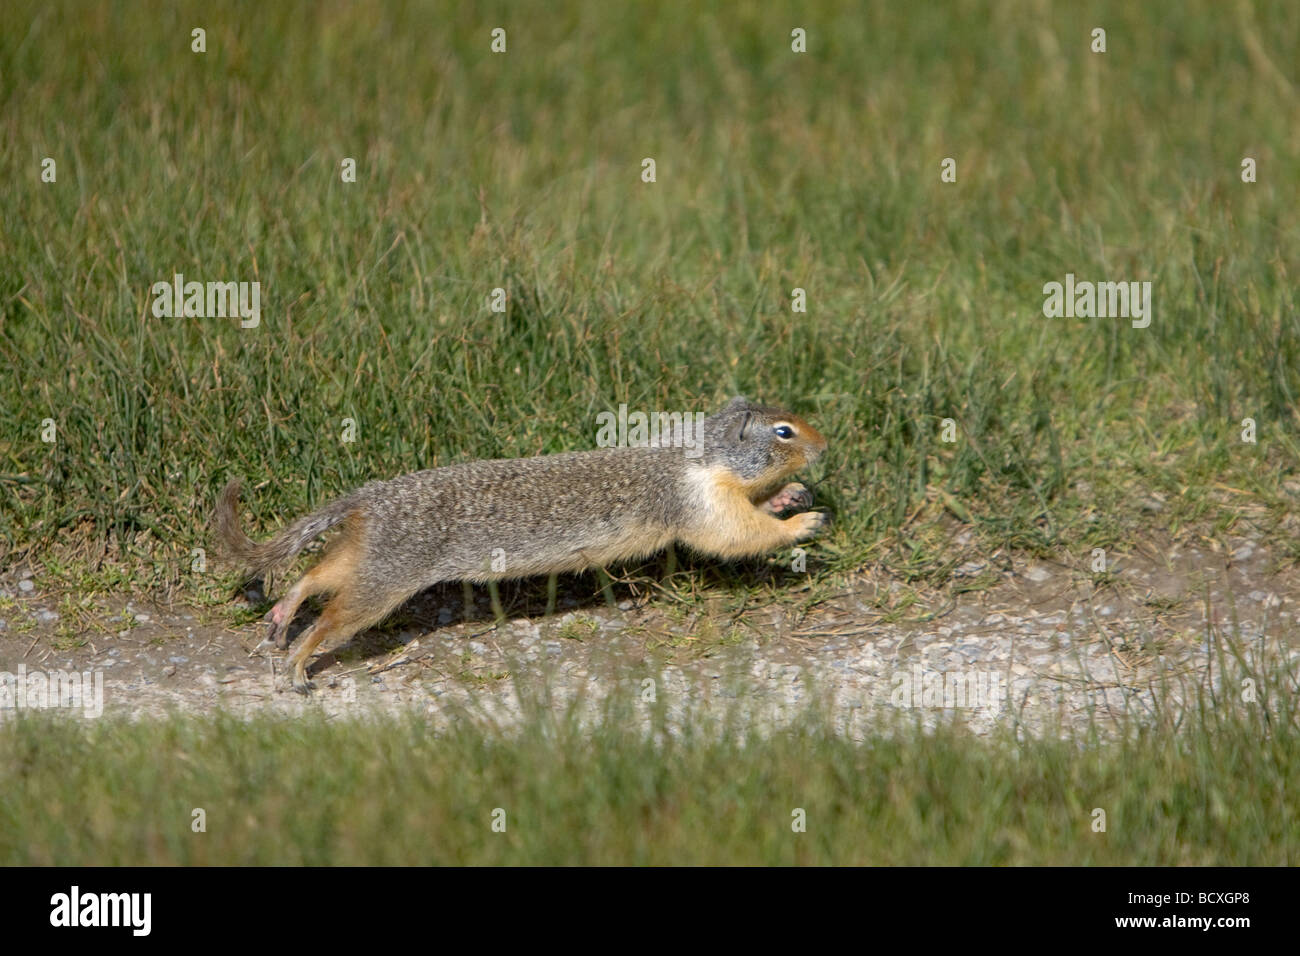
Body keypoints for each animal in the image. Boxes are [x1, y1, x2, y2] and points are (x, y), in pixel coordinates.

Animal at [214, 396, 829, 691]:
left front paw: (788, 497)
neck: (696, 452)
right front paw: (803, 522)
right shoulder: (701, 501)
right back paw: (298, 665)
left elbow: (747, 519)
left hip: (369, 555)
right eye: (784, 432)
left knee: (317, 573)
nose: (825, 445)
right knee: (332, 615)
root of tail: (372, 496)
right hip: (386, 578)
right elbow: (734, 534)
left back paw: (283, 611)